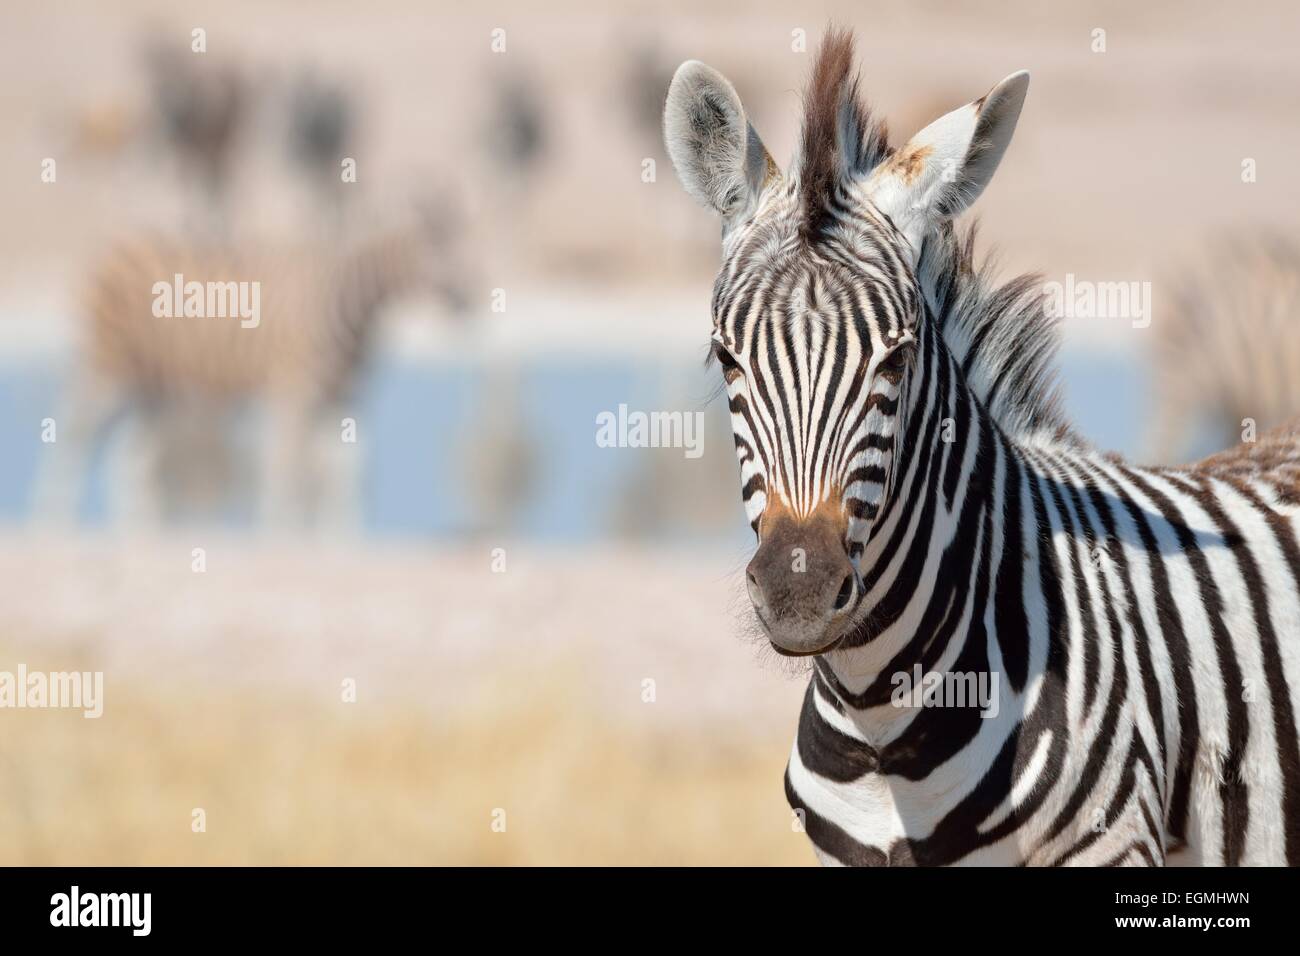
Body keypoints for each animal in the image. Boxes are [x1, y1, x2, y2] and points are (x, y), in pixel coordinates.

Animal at [39, 208, 472, 528]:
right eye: (433, 246)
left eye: (463, 242)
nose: (470, 296)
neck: (348, 299)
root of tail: (114, 244)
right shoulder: (292, 393)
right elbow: (286, 468)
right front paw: (281, 536)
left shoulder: (345, 396)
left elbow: (349, 472)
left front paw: (343, 543)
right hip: (107, 369)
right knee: (73, 432)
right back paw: (50, 525)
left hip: (149, 385)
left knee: (129, 454)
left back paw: (139, 535)